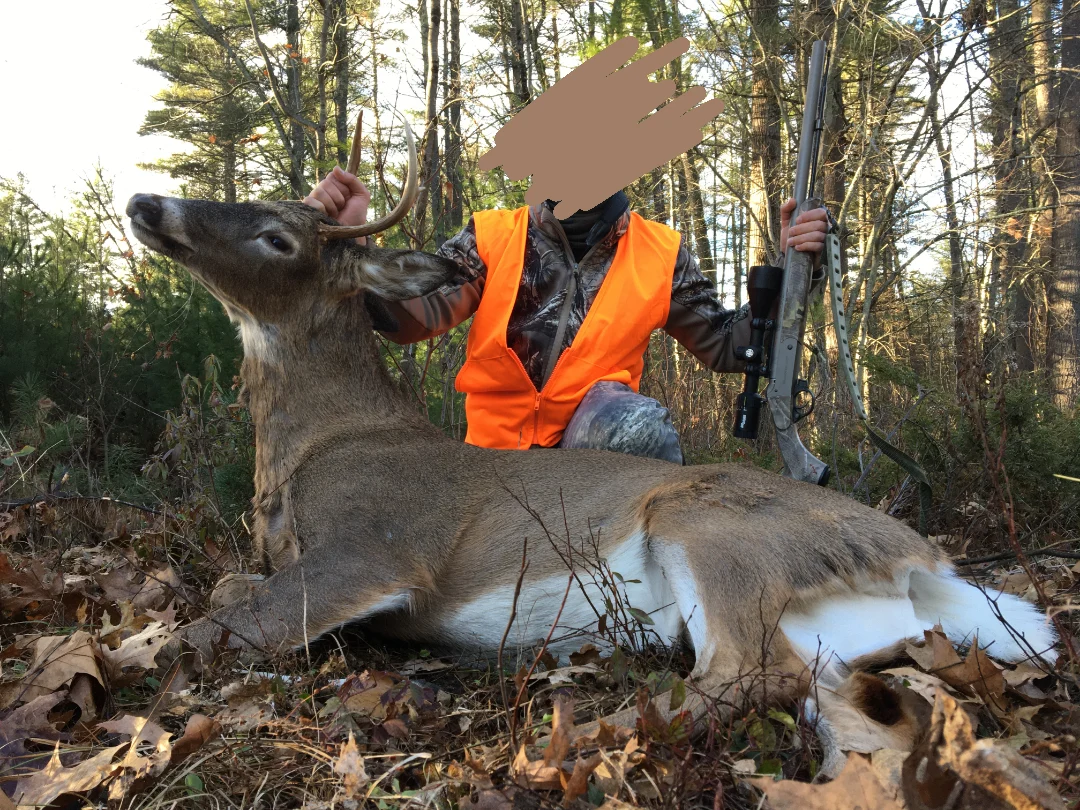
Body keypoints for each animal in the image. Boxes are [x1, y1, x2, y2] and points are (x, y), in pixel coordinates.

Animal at [127, 117, 1057, 775]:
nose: (146, 204)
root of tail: (927, 563)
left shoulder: (378, 546)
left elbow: (202, 630)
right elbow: (223, 592)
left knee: (751, 671)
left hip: (713, 526)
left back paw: (569, 739)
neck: (319, 446)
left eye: (278, 236)